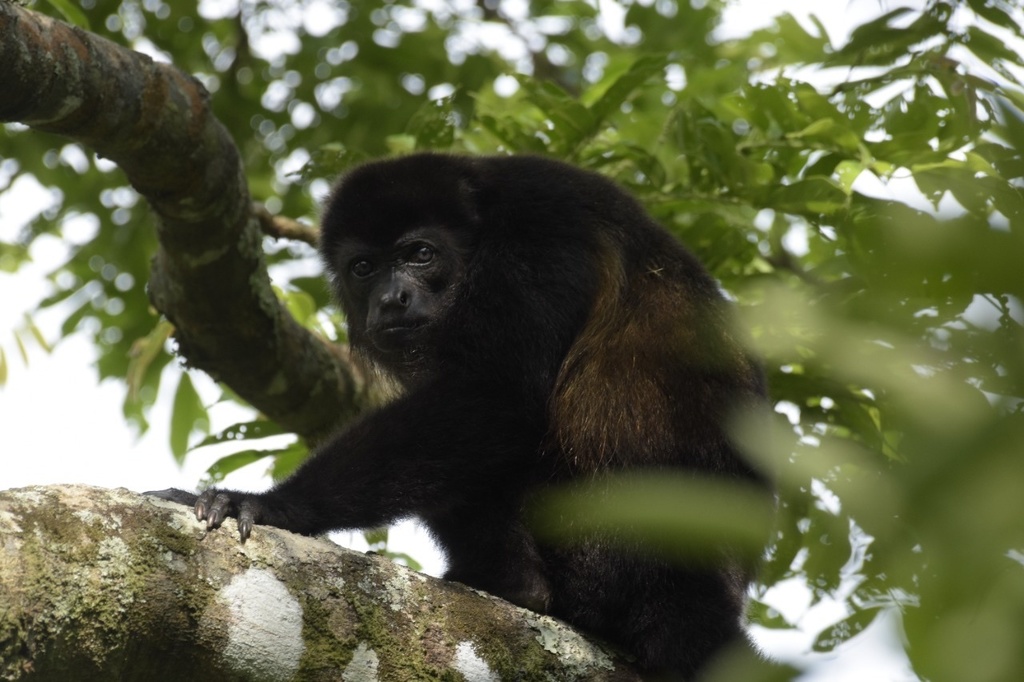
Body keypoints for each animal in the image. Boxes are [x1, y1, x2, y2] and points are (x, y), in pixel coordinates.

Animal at [149, 152, 769, 679]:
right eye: (363, 267)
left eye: (420, 254)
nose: (391, 299)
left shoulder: (541, 228)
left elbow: (494, 393)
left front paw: (271, 505)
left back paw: (518, 587)